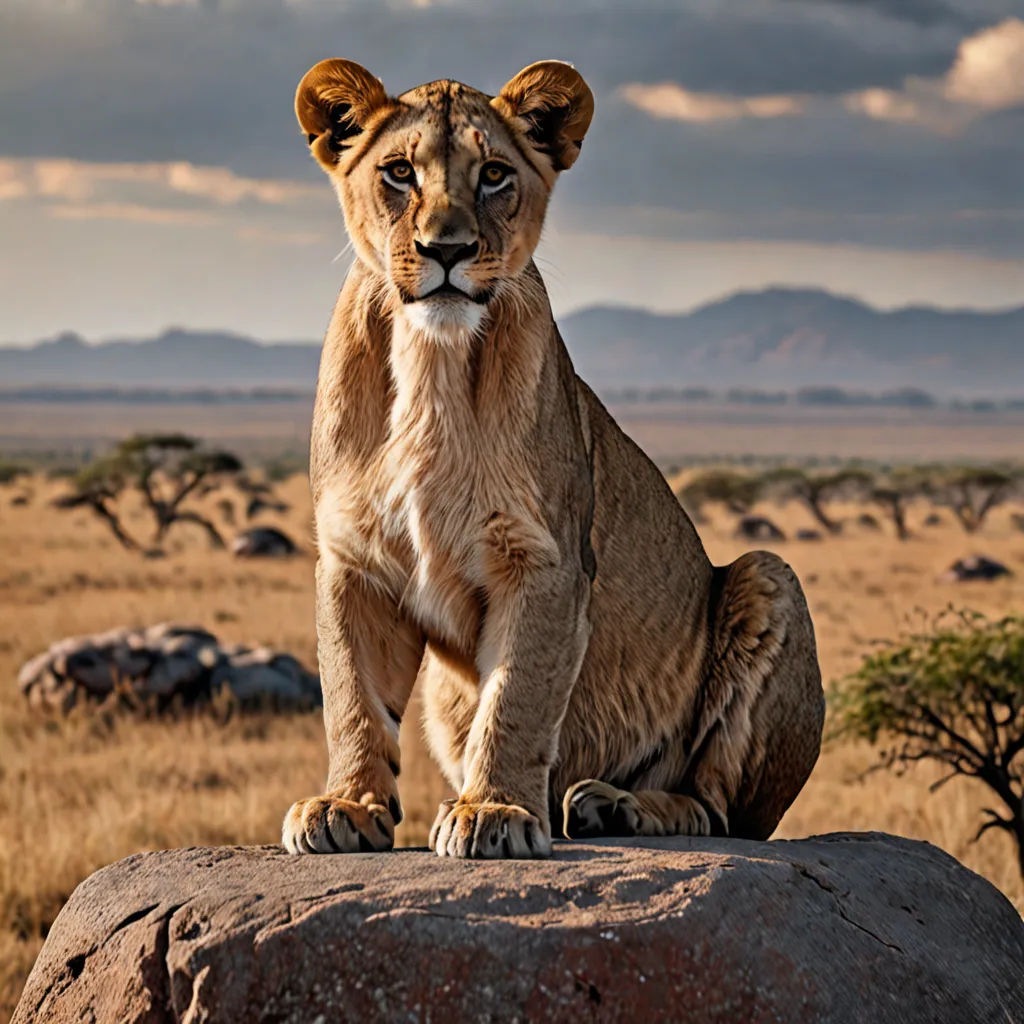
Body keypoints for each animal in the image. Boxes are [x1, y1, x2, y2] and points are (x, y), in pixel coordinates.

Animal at [282, 58, 824, 859]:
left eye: (494, 175)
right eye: (400, 172)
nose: (448, 249)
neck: (433, 356)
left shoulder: (544, 559)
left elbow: (517, 697)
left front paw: (492, 812)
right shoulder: (354, 558)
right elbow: (351, 694)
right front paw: (346, 804)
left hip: (769, 574)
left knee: (720, 810)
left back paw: (616, 804)